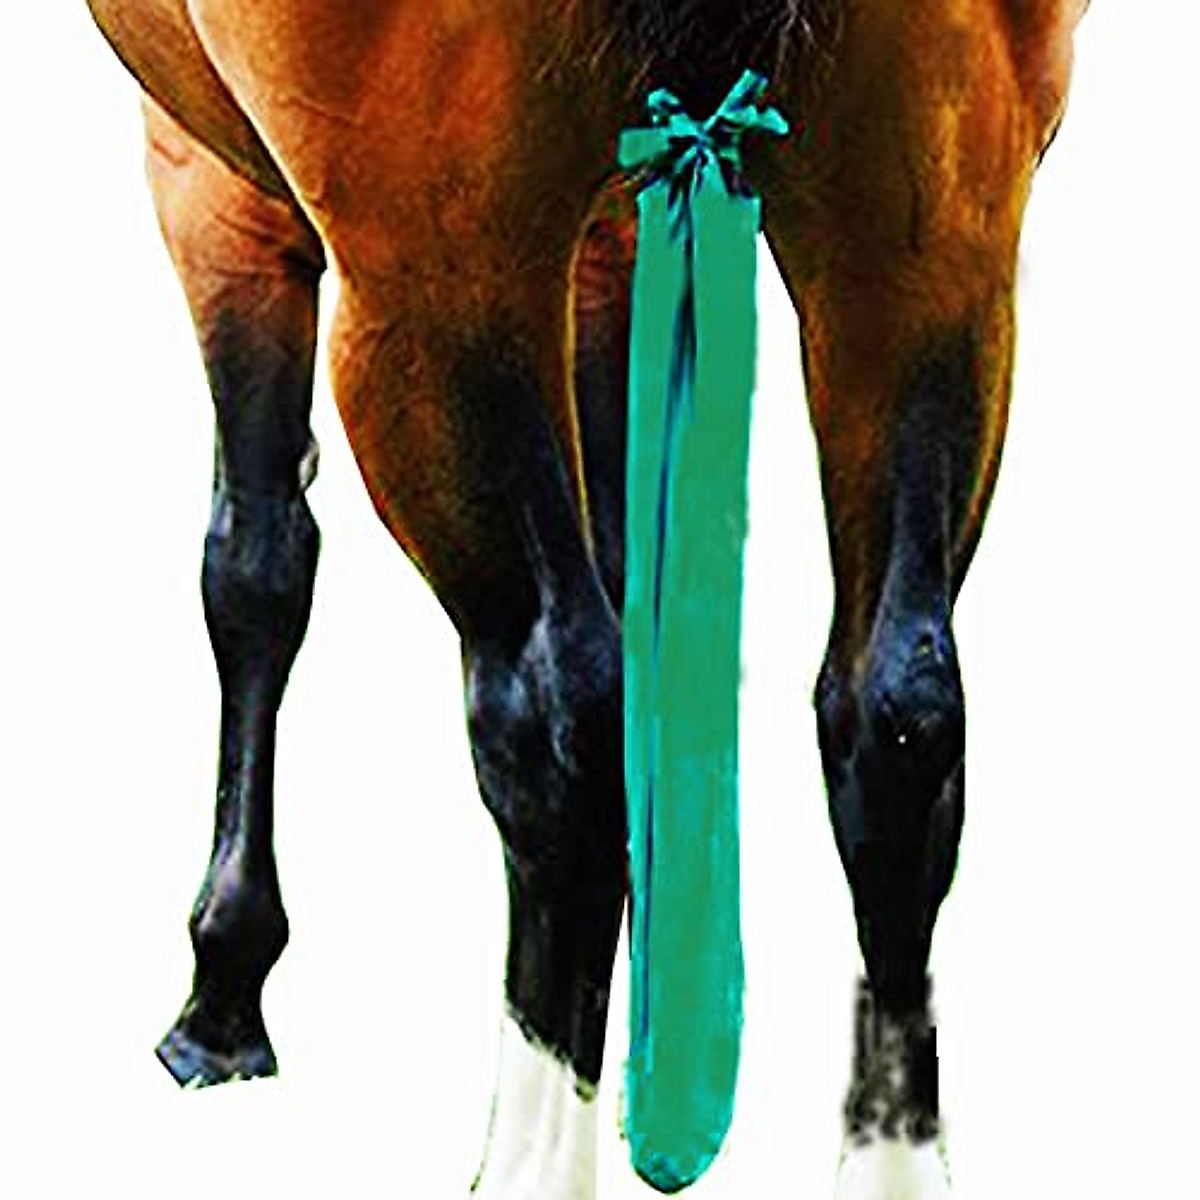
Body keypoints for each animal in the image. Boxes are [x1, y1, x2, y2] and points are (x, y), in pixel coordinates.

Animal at [83, 2, 1086, 1197]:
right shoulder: (615, 235)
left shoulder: (212, 183)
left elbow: (256, 570)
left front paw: (223, 986)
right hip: (930, 251)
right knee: (897, 712)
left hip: (438, 271)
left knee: (553, 710)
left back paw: (530, 1152)